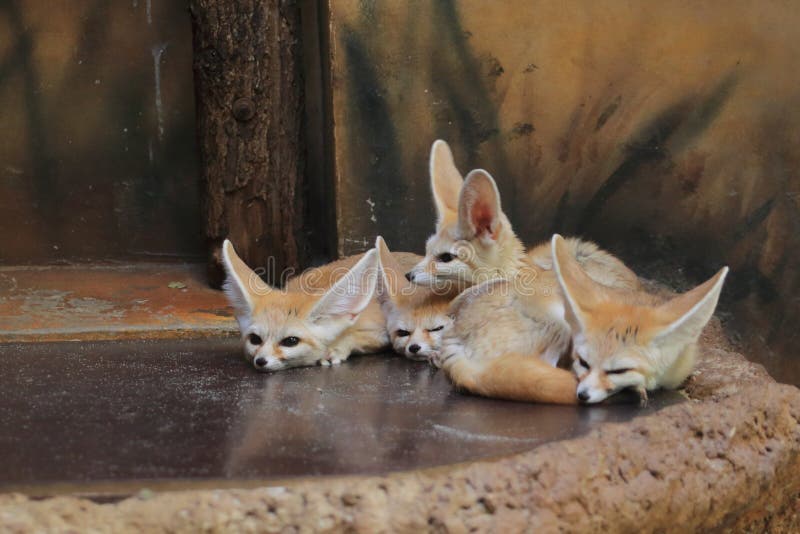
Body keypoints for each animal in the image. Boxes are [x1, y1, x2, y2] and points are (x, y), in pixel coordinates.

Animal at [221, 239, 420, 372]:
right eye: (255, 339)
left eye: (290, 341)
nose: (260, 361)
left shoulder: (383, 332)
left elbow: (355, 337)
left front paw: (336, 349)